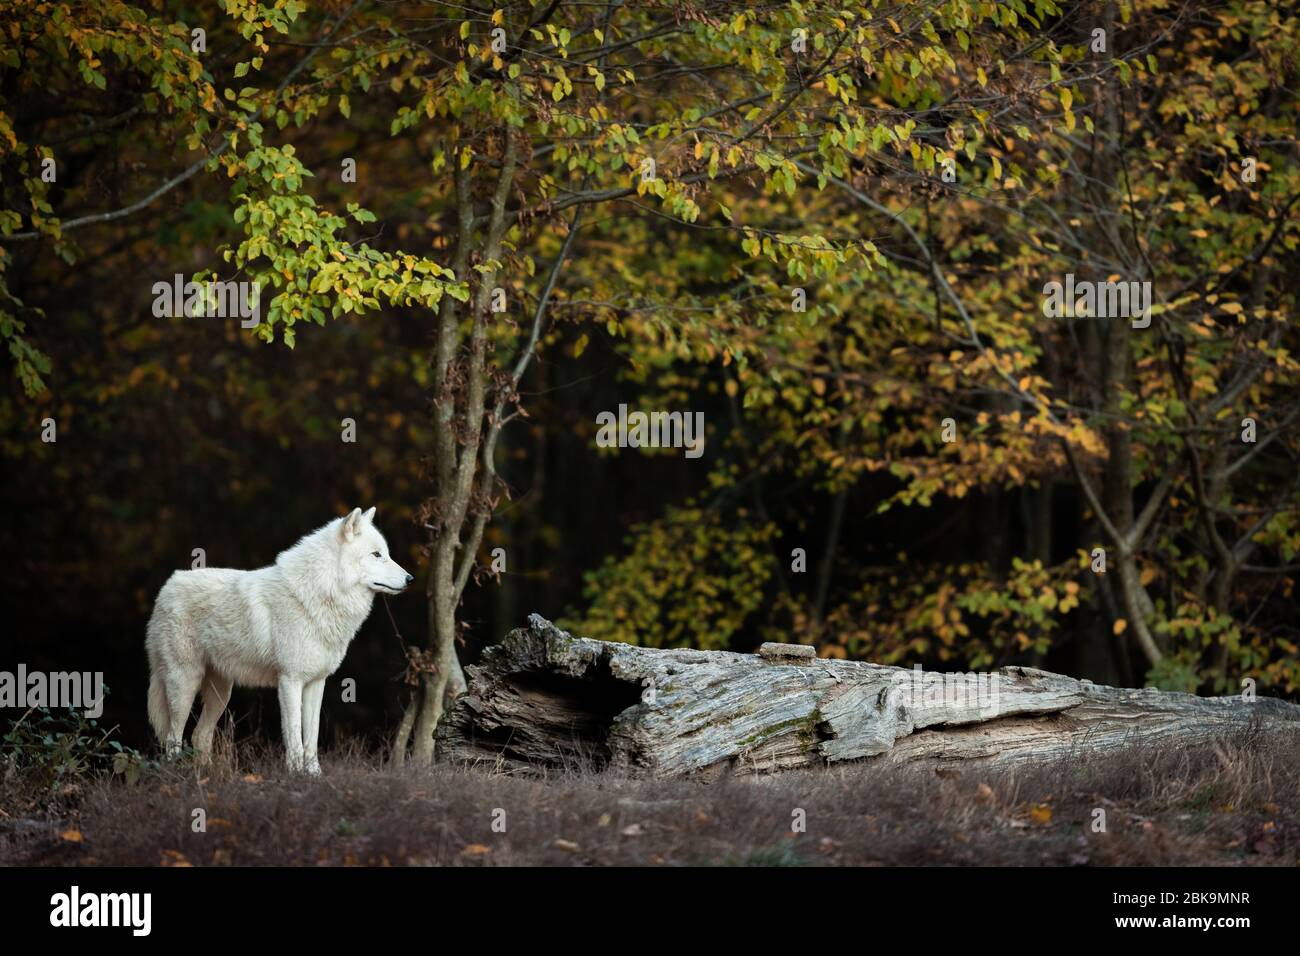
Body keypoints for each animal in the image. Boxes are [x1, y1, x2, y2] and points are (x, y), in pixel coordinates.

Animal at [145, 507, 411, 774]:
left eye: (386, 553)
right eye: (376, 554)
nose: (410, 578)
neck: (320, 592)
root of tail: (170, 584)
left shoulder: (316, 682)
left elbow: (311, 739)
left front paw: (314, 775)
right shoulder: (290, 680)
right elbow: (294, 738)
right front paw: (294, 774)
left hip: (221, 692)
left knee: (199, 735)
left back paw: (209, 775)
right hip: (185, 684)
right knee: (173, 737)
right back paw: (176, 774)